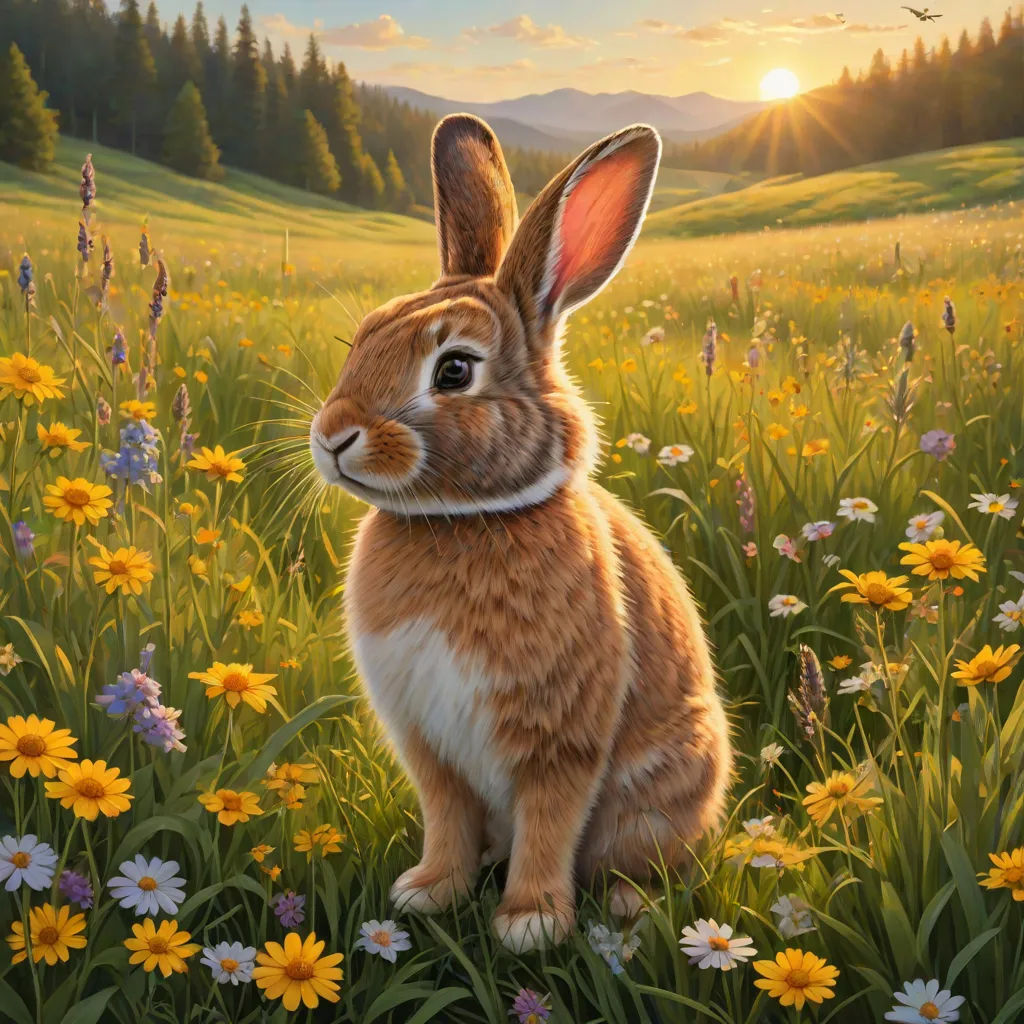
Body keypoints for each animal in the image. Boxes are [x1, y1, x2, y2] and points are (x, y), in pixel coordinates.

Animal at [310, 113, 731, 953]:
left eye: (454, 370)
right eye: (363, 338)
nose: (333, 436)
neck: (461, 520)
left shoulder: (560, 741)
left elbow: (550, 820)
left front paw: (530, 923)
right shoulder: (429, 743)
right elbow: (446, 816)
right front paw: (427, 893)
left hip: (663, 794)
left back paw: (627, 907)